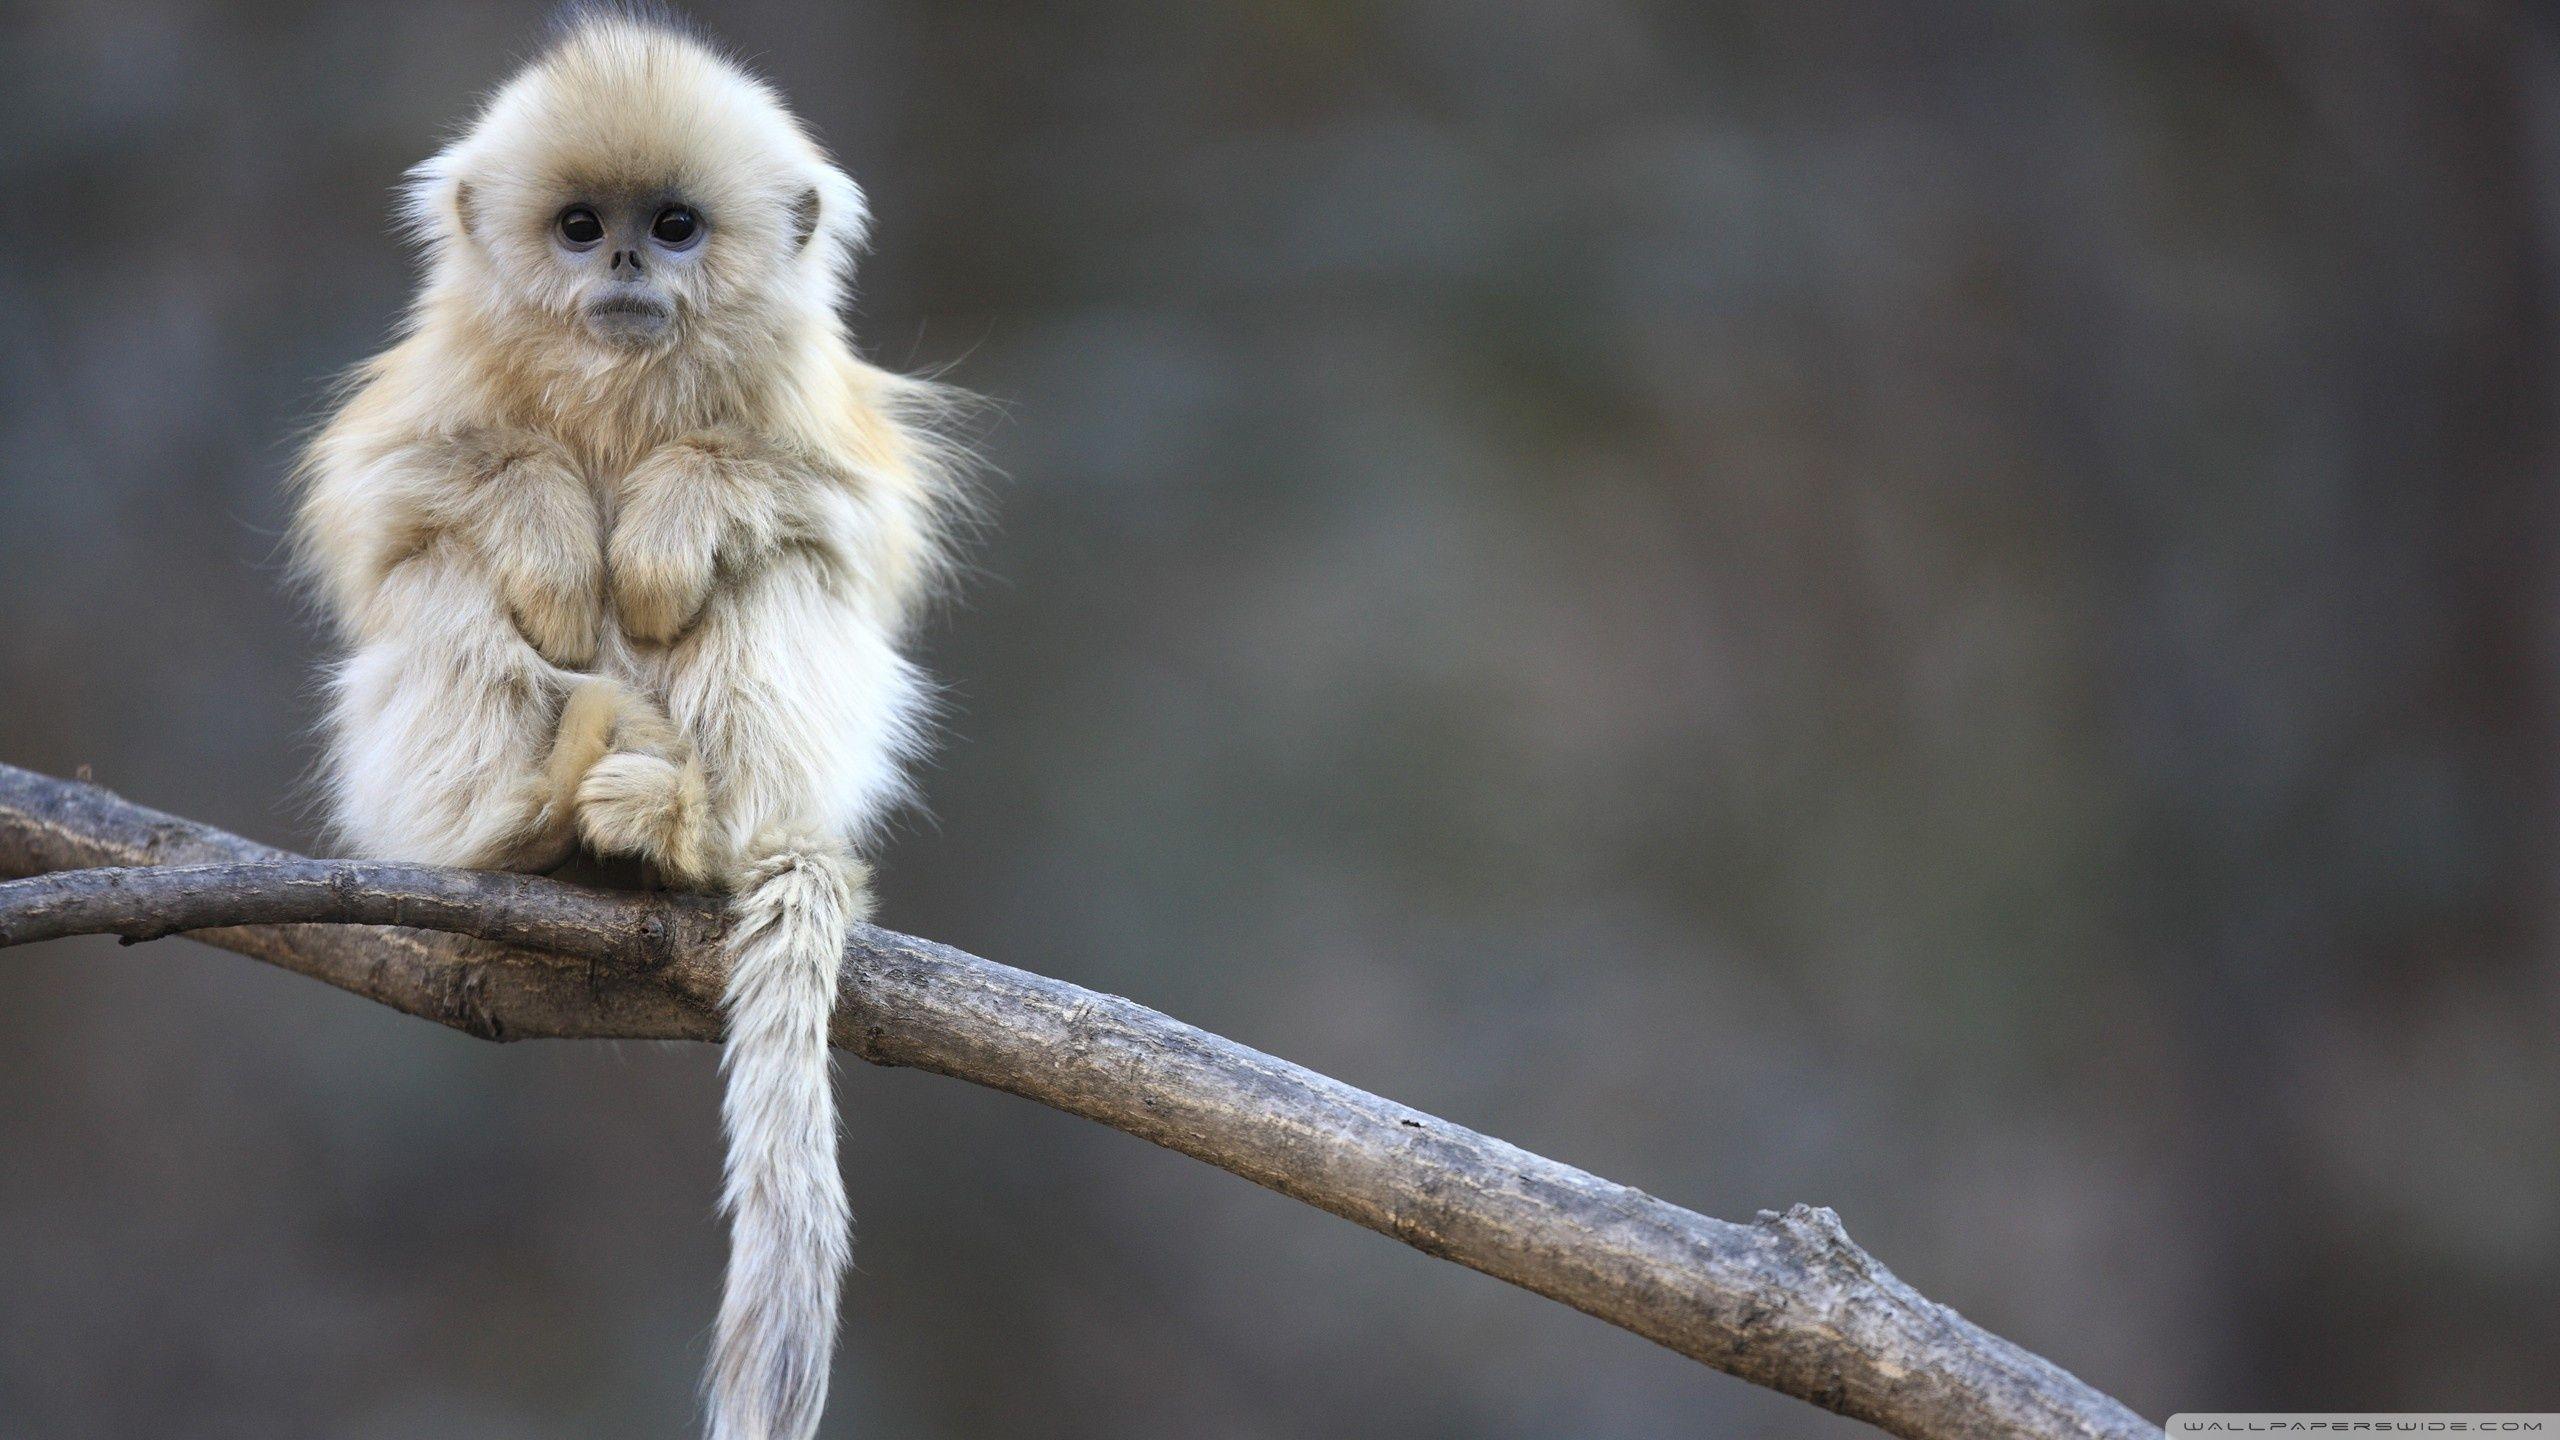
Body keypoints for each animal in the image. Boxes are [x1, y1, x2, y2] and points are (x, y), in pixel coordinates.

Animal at [289, 11, 968, 1438]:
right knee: (445, 576)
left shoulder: (814, 415)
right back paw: (520, 827)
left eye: (673, 226)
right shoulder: (428, 394)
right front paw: (554, 537)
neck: (618, 376)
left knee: (778, 572)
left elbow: (837, 517)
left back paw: (680, 831)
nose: (620, 264)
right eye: (577, 225)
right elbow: (394, 502)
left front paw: (662, 530)